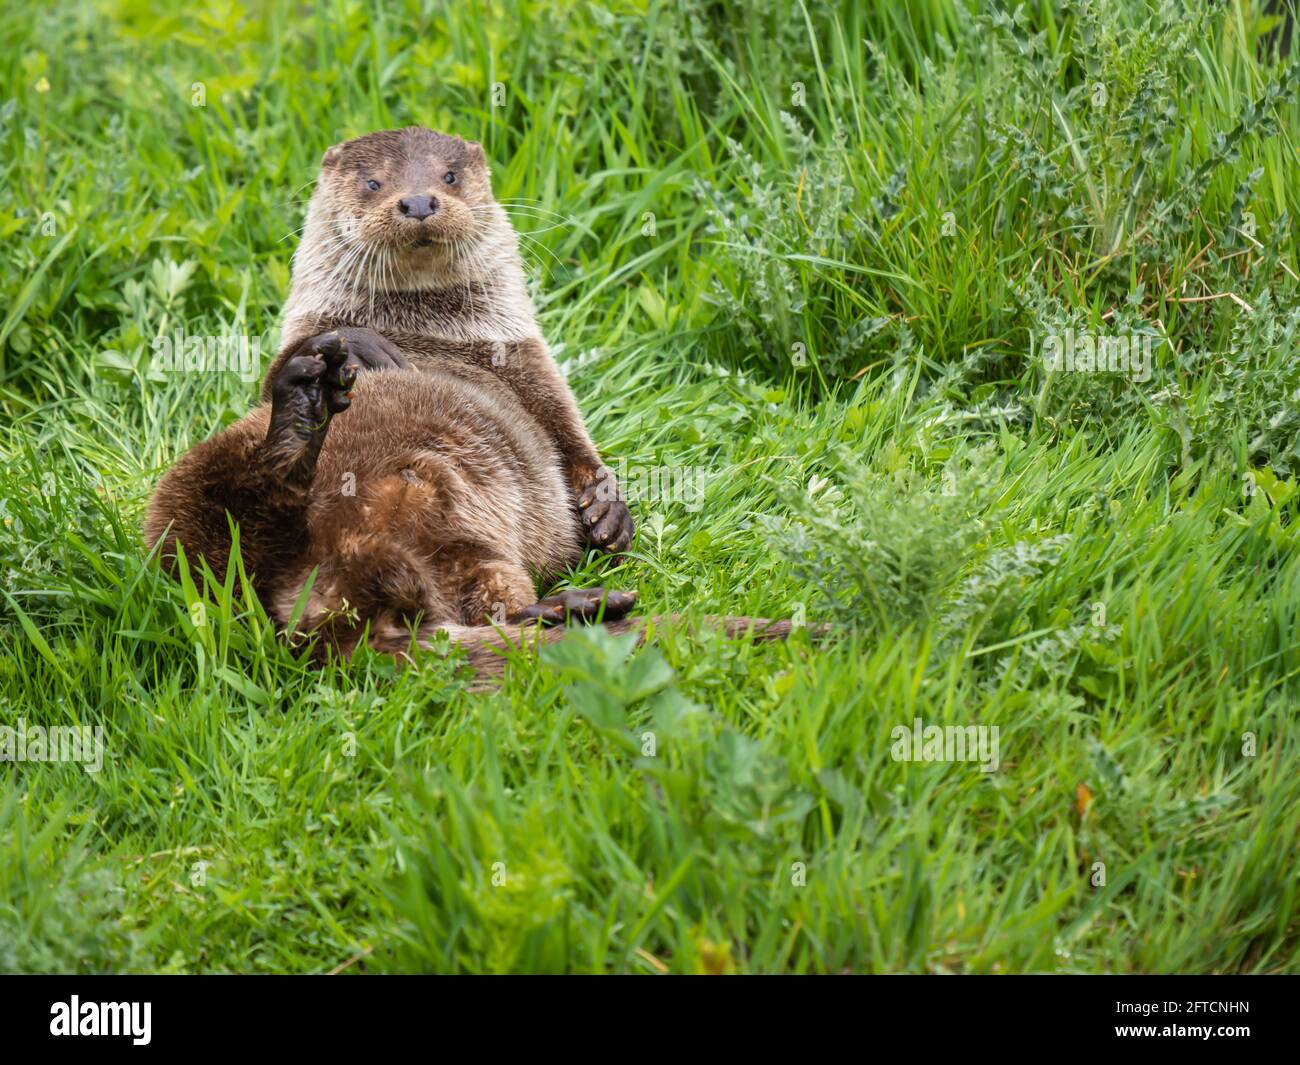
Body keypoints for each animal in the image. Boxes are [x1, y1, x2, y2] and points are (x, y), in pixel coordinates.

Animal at [145, 126, 797, 671]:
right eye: (374, 182)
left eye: (449, 175)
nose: (418, 201)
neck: (423, 328)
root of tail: (322, 603)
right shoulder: (306, 329)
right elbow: (283, 361)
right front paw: (359, 351)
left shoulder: (530, 363)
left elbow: (570, 435)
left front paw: (607, 513)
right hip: (177, 503)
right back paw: (299, 411)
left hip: (459, 532)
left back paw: (577, 606)